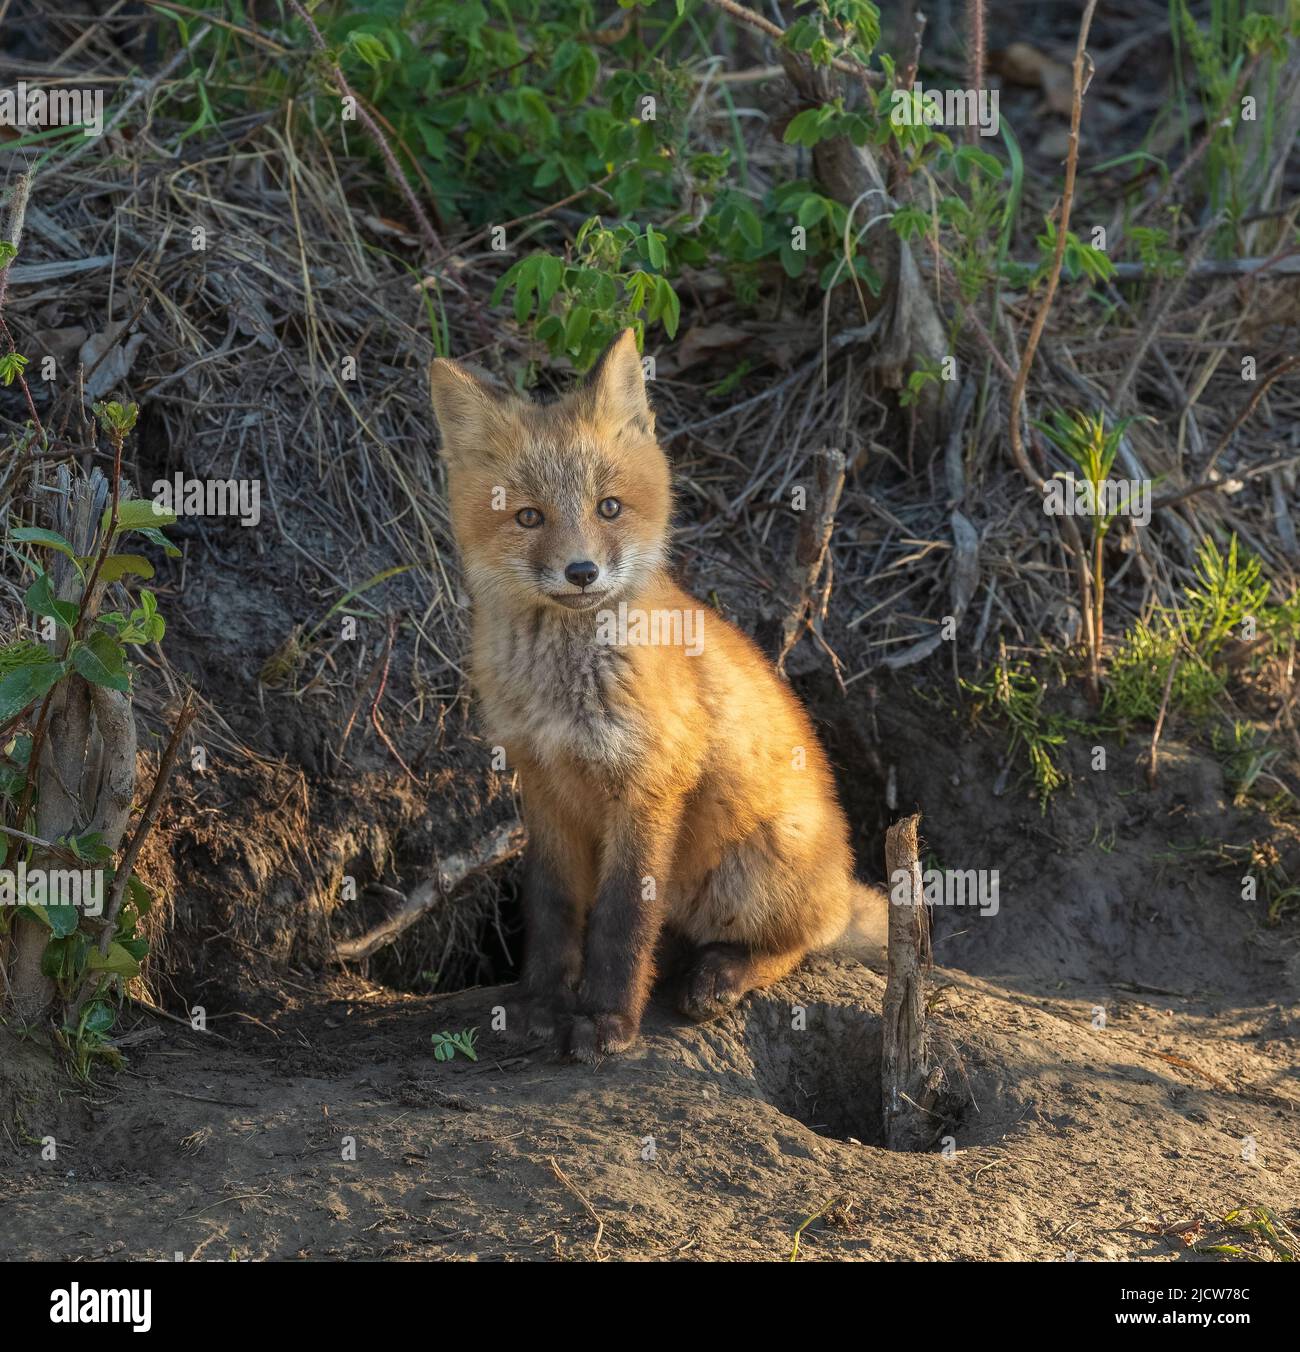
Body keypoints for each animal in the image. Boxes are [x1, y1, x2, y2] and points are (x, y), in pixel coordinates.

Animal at [429, 329, 884, 1060]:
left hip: (746, 872)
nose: (581, 572)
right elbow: (552, 910)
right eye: (529, 517)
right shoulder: (541, 786)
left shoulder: (648, 786)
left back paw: (722, 975)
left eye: (608, 508)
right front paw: (541, 1005)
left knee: (802, 941)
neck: (567, 693)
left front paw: (608, 1022)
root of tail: (840, 873)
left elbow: (622, 918)